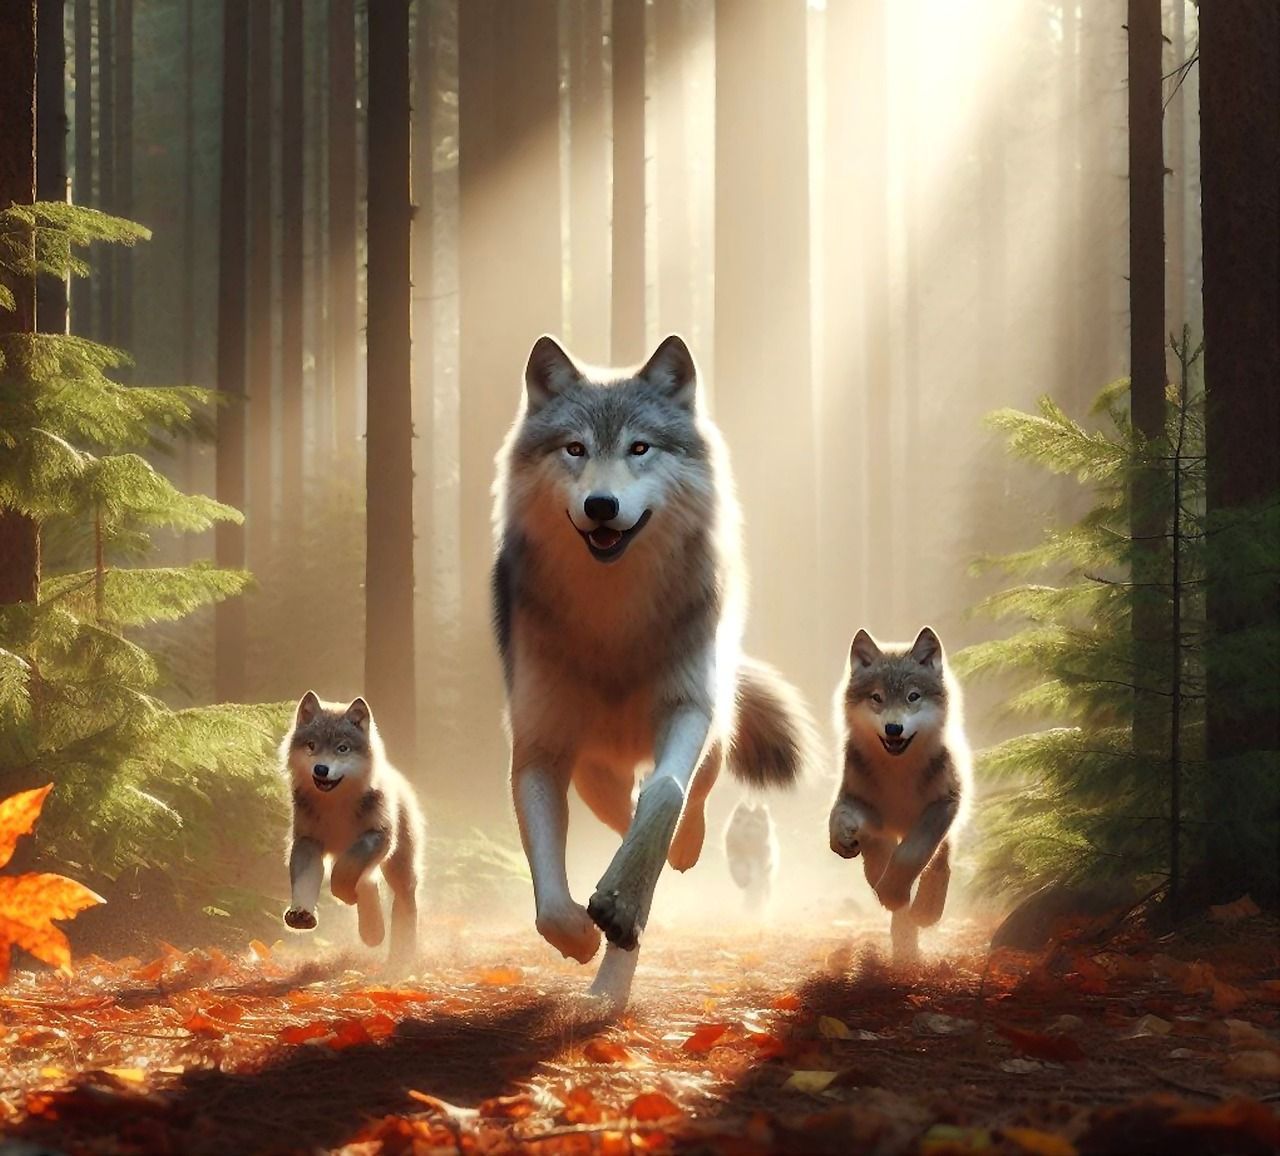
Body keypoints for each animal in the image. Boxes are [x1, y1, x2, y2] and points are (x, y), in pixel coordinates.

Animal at [280, 692, 425, 964]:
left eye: (342, 748)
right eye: (312, 745)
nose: (321, 769)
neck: (336, 805)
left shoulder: (376, 836)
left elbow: (343, 872)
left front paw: (345, 894)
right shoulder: (307, 841)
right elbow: (305, 880)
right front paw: (301, 914)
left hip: (399, 868)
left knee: (404, 902)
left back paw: (402, 955)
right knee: (369, 882)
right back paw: (373, 931)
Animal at [492, 333, 813, 1004]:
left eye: (639, 448)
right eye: (575, 449)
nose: (601, 505)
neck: (615, 617)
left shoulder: (688, 709)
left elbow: (666, 793)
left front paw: (619, 903)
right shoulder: (539, 745)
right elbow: (548, 899)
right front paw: (578, 934)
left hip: (712, 731)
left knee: (684, 798)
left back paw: (672, 864)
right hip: (593, 777)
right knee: (623, 820)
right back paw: (609, 981)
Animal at [828, 627, 971, 962]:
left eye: (913, 696)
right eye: (877, 697)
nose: (894, 728)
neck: (899, 772)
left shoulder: (943, 805)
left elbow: (912, 854)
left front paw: (895, 893)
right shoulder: (859, 802)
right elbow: (838, 816)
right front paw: (842, 840)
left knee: (939, 862)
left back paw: (924, 912)